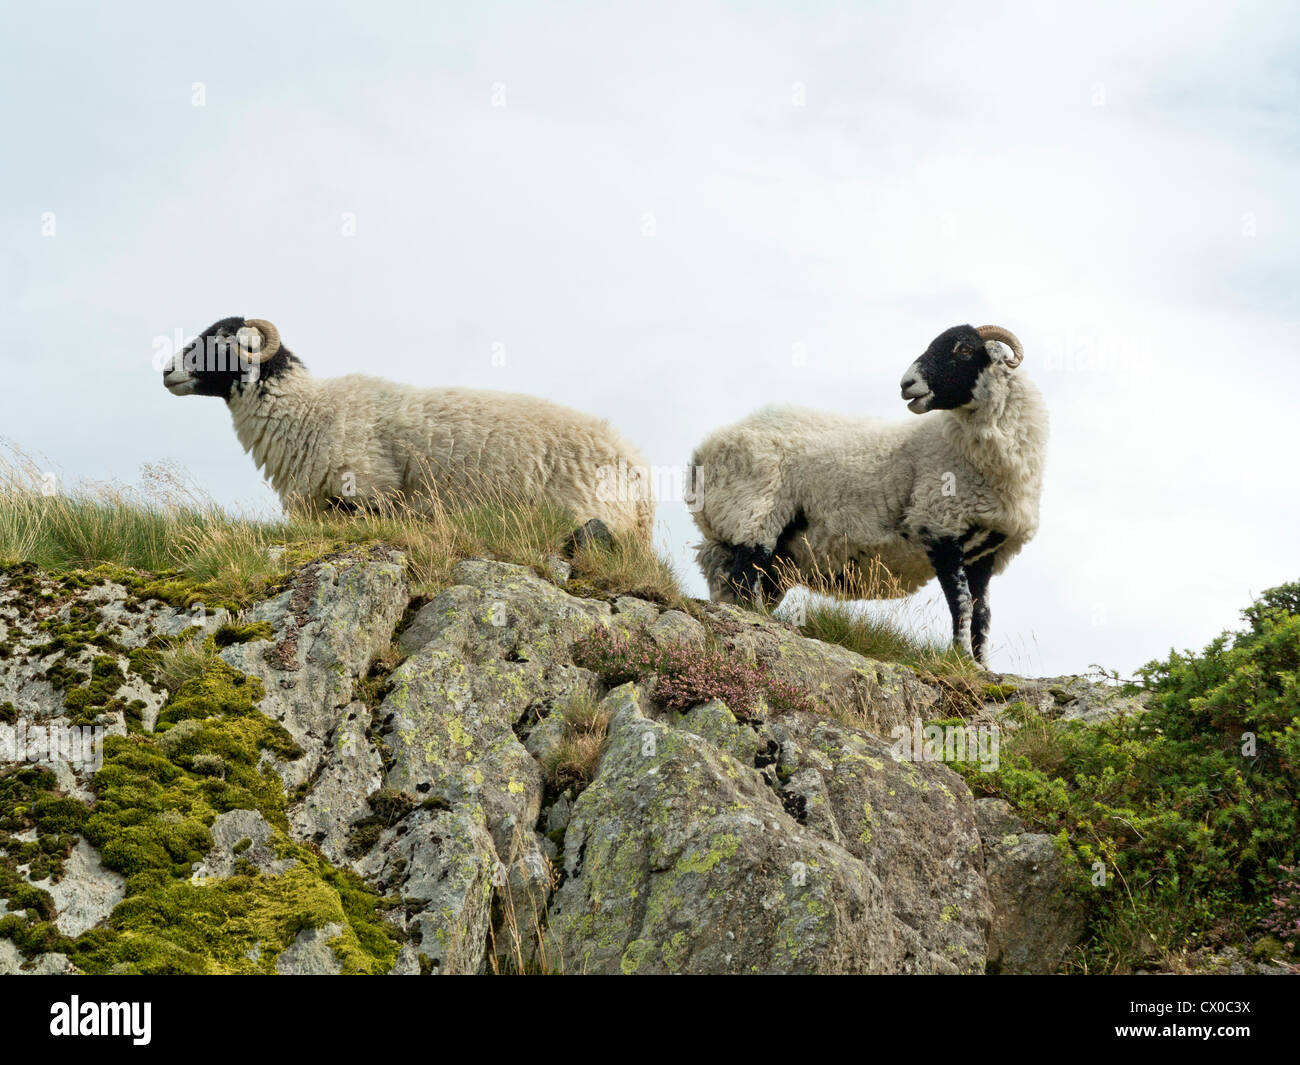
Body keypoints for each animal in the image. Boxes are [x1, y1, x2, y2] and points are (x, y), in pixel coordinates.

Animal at [161, 317, 655, 539]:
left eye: (219, 340)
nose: (165, 371)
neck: (310, 409)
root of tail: (639, 468)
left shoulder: (369, 493)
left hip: (592, 513)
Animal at [687, 324, 1048, 664]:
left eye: (964, 349)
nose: (906, 384)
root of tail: (702, 455)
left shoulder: (986, 550)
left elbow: (982, 614)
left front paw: (983, 667)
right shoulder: (939, 527)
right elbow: (961, 606)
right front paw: (961, 659)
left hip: (772, 550)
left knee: (737, 583)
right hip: (754, 512)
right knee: (744, 578)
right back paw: (759, 621)